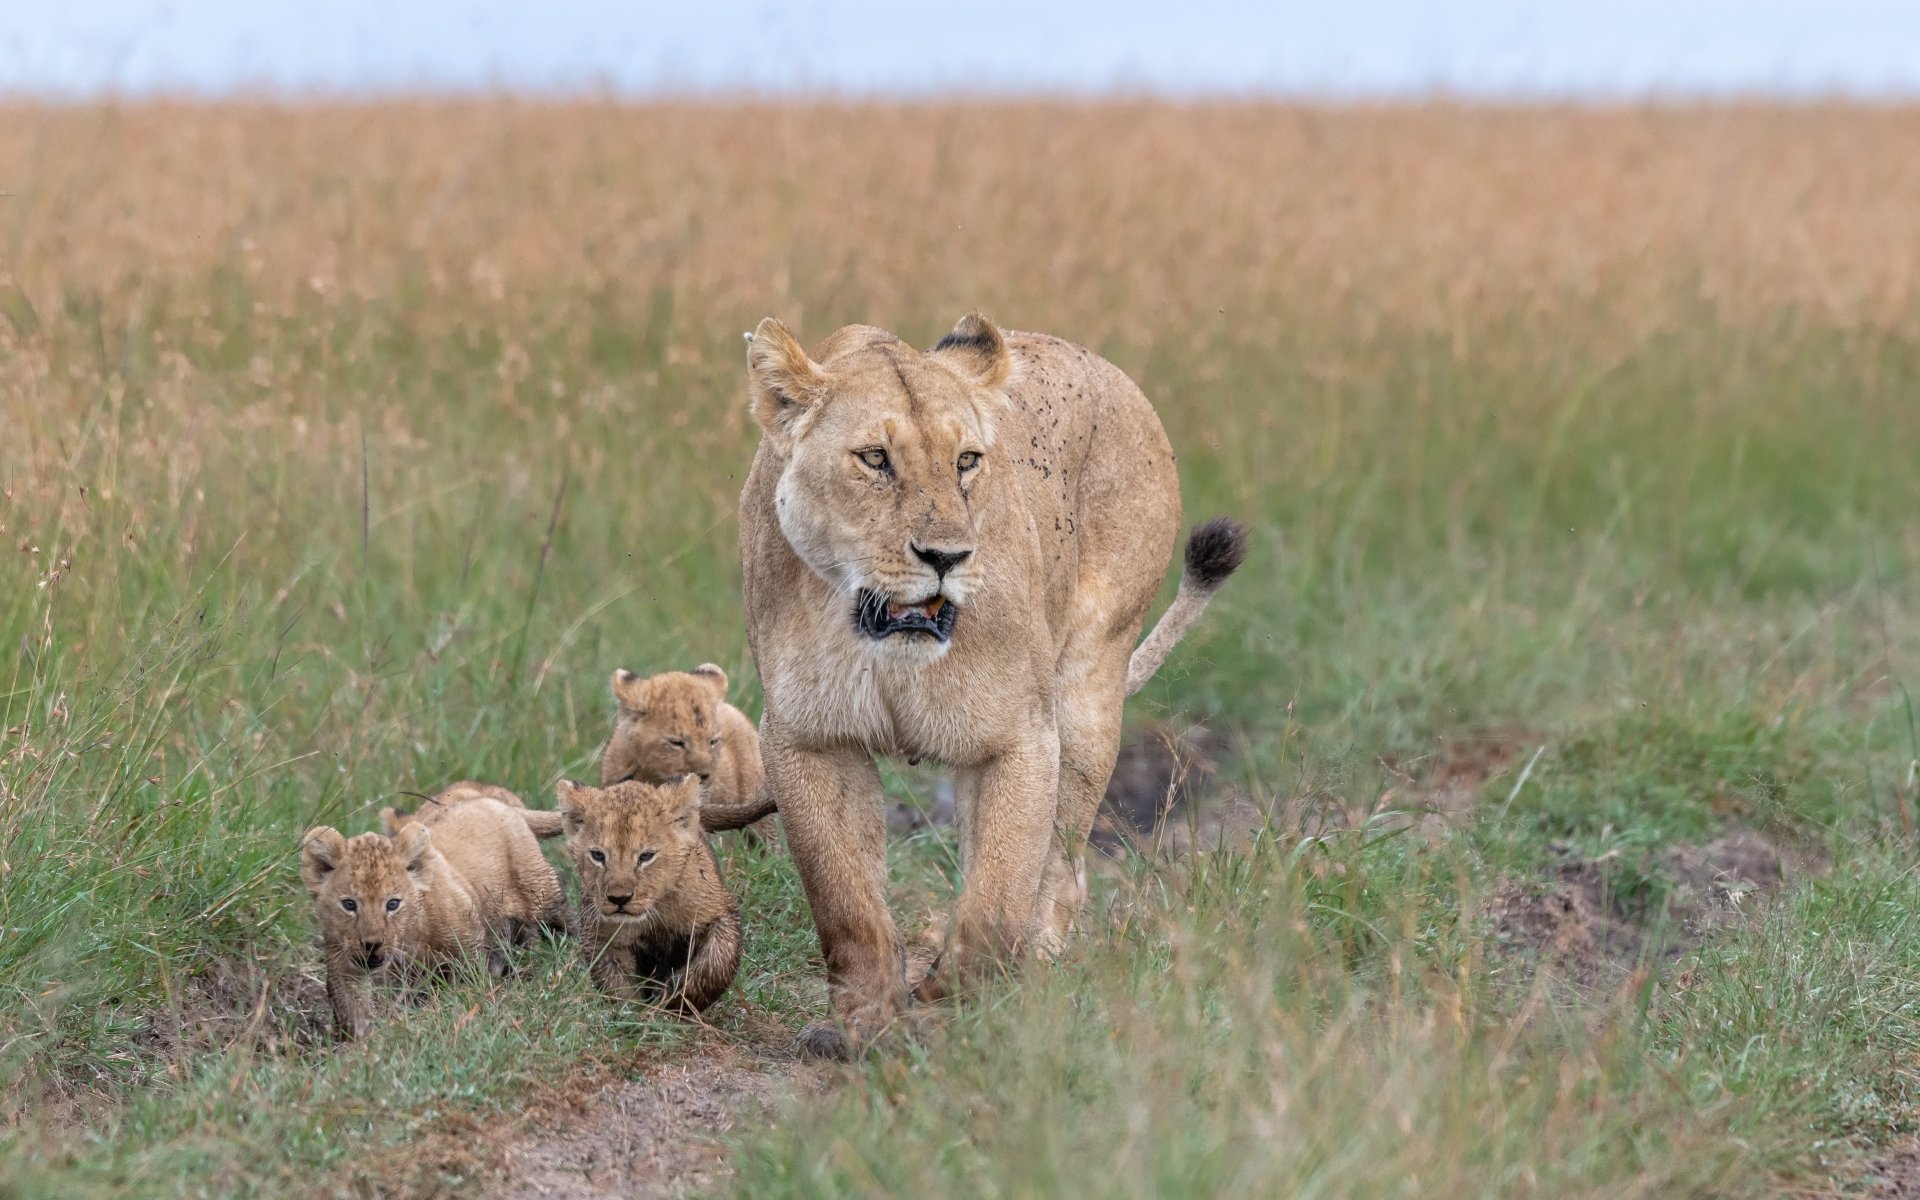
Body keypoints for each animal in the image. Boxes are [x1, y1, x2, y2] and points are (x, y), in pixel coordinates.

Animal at [301, 790, 567, 1040]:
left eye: (393, 904)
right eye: (349, 904)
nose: (372, 944)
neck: (409, 936)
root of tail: (496, 803)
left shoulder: (467, 950)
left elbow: (468, 985)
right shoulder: (344, 962)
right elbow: (352, 1011)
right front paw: (364, 1045)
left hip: (542, 892)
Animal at [555, 776, 743, 1016]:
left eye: (646, 856)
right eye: (597, 855)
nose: (619, 899)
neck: (656, 910)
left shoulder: (720, 912)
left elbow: (716, 963)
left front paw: (676, 1001)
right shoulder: (601, 937)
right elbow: (617, 983)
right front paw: (633, 1014)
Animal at [738, 313, 1246, 1055]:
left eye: (967, 461)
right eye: (875, 459)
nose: (946, 557)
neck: (886, 648)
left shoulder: (1020, 738)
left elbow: (997, 898)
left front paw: (955, 1013)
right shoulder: (809, 738)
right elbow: (845, 899)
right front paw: (865, 1024)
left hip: (1087, 696)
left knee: (1061, 869)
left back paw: (1036, 968)